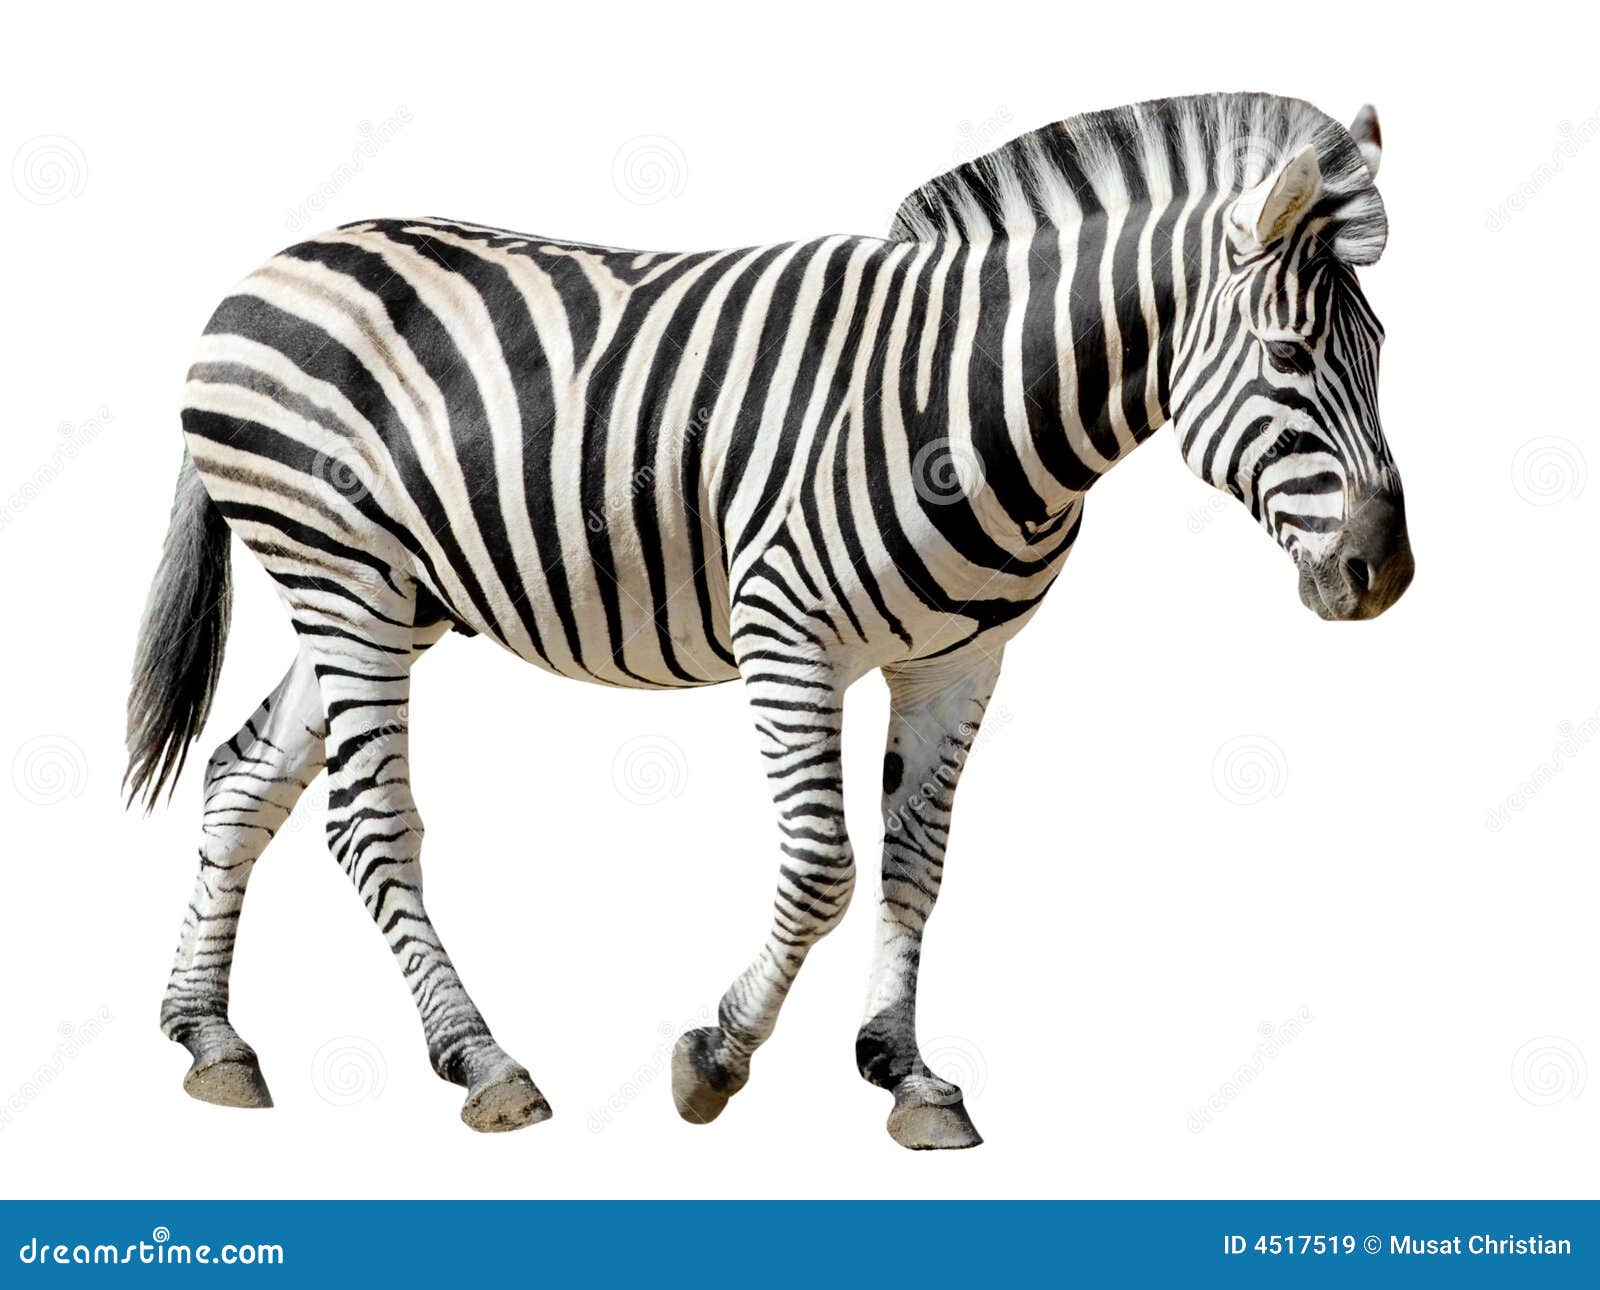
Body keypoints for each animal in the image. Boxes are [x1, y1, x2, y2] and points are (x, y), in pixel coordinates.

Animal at [128, 92, 1412, 1149]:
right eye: (1290, 355)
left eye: (1383, 350)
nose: (1383, 574)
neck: (972, 399)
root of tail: (271, 265)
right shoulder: (786, 634)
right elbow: (823, 868)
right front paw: (717, 1054)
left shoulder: (960, 661)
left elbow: (915, 861)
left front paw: (905, 1075)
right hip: (337, 572)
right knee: (370, 823)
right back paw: (483, 1061)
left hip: (390, 595)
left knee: (242, 780)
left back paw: (211, 1038)